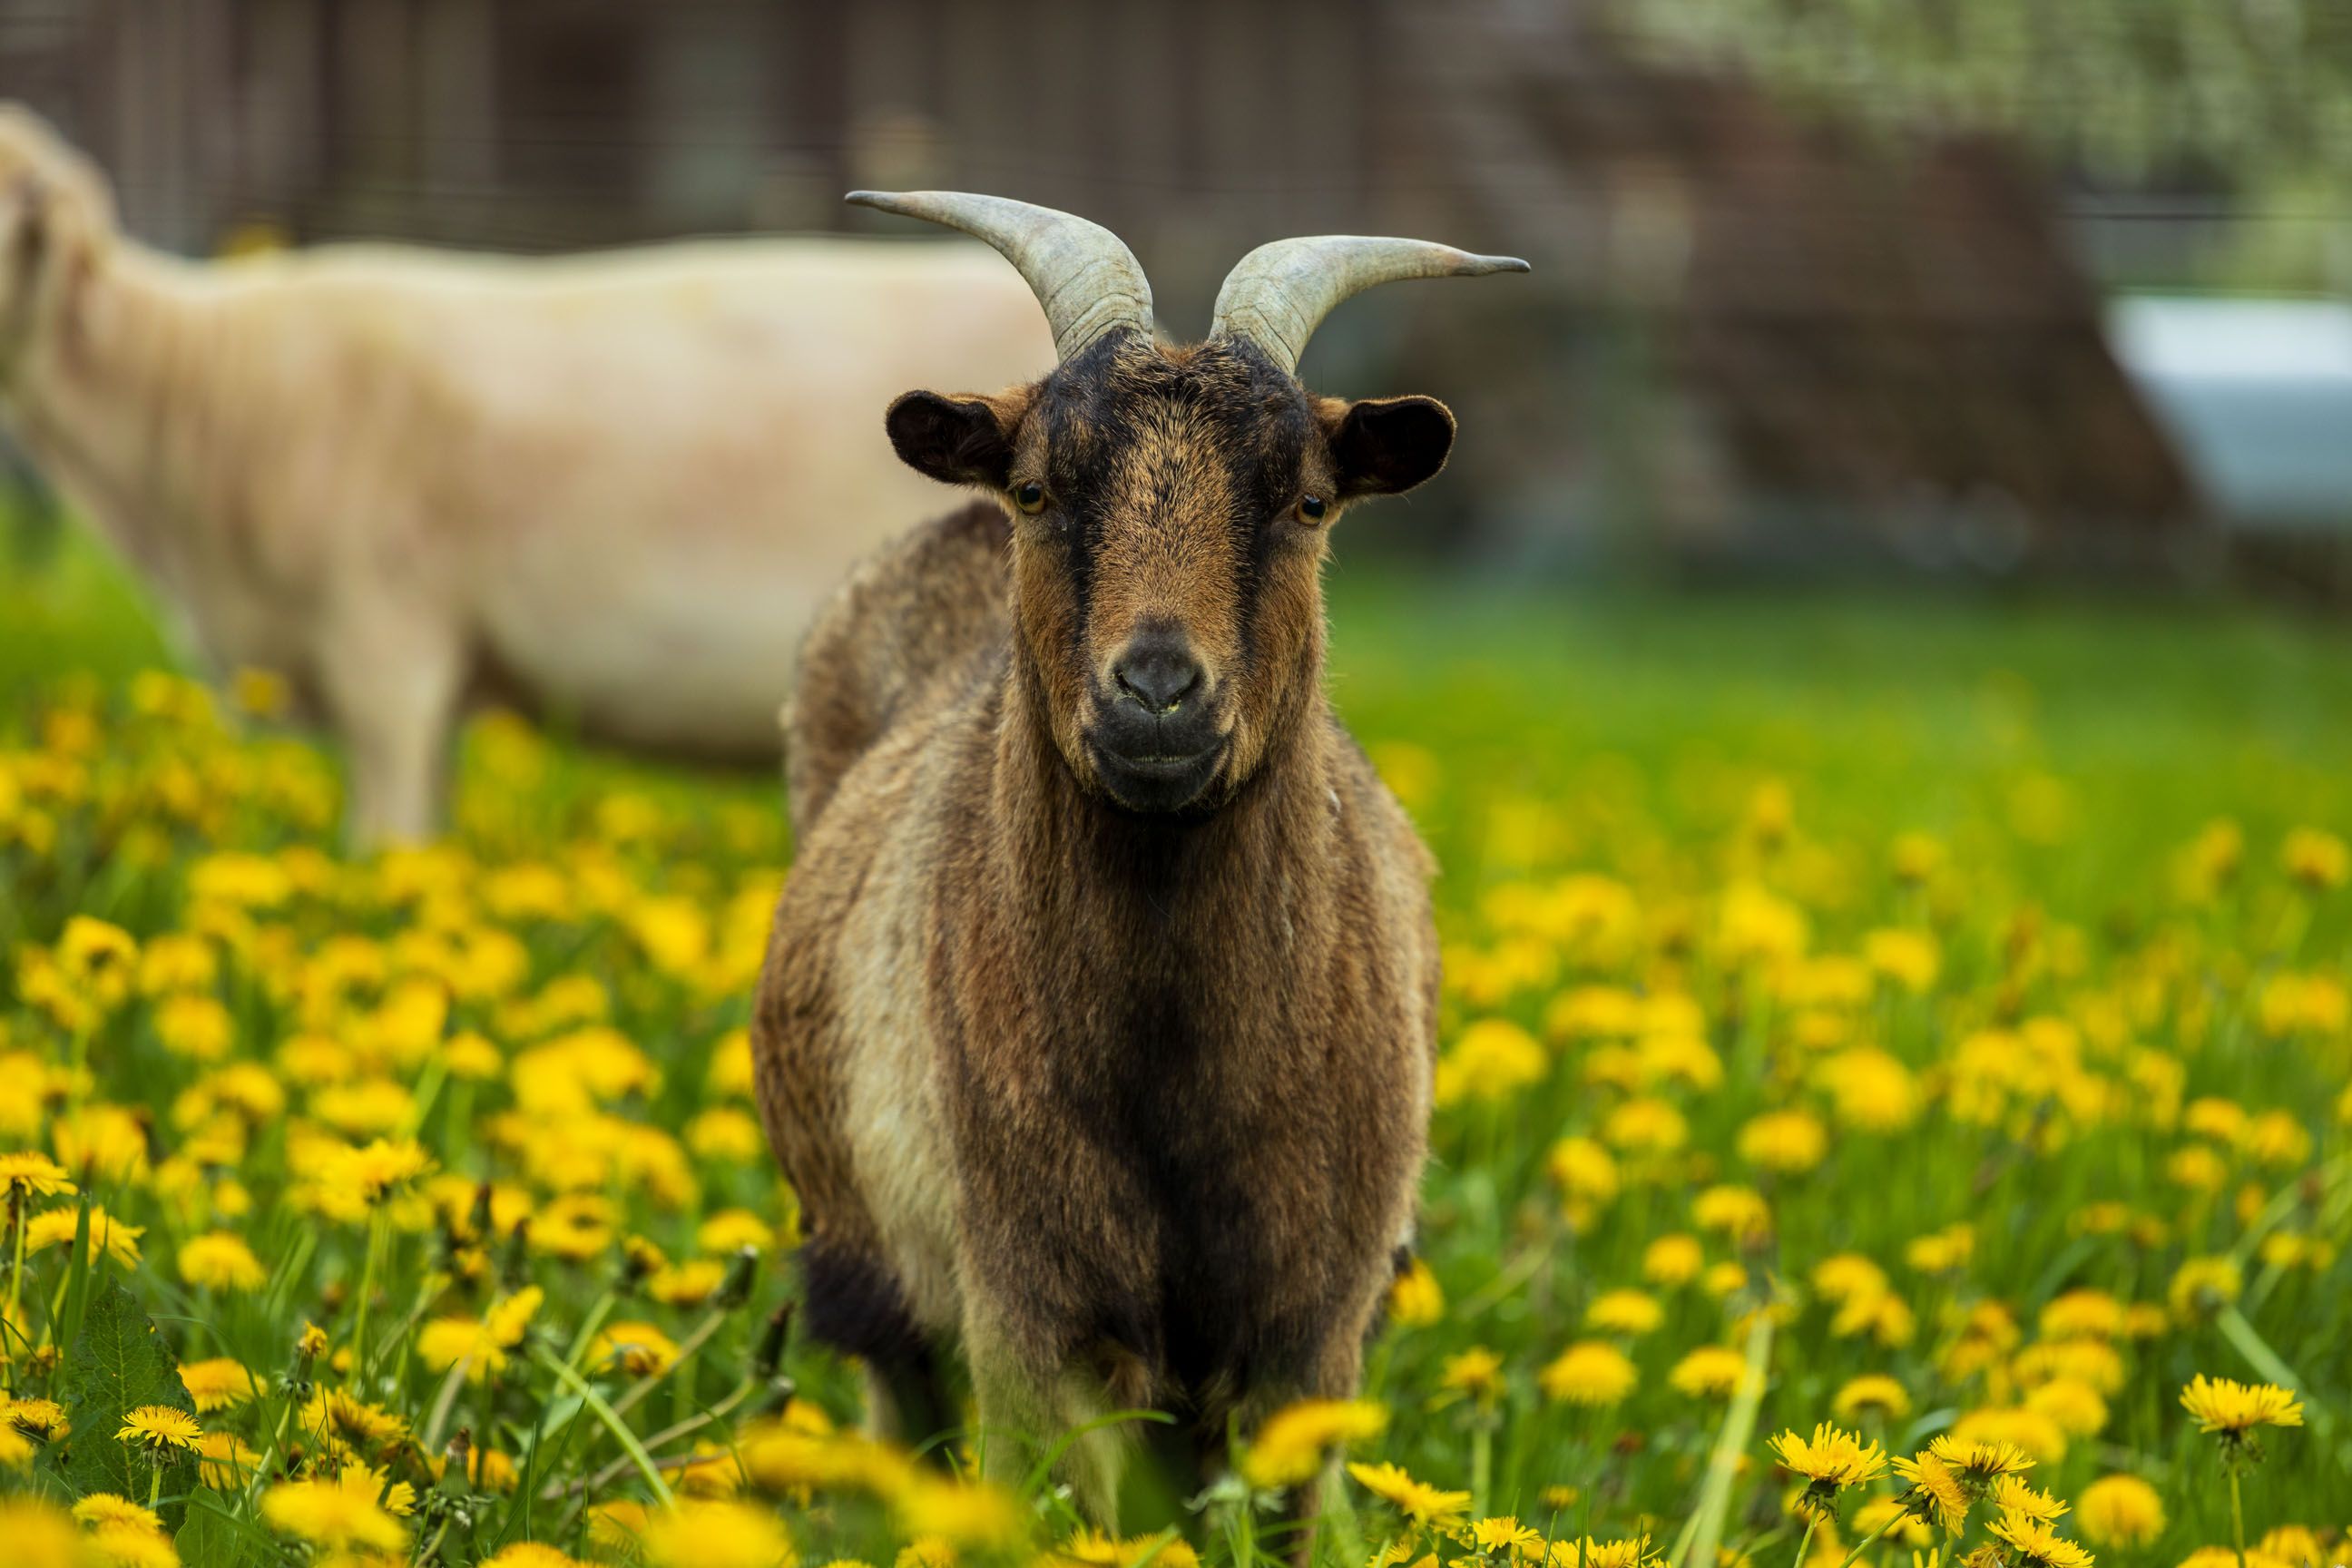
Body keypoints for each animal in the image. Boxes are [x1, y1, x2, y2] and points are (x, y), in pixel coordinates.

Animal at [752, 190, 1523, 1532]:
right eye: (1037, 487)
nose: (1158, 692)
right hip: (875, 1275)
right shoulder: (1029, 1310)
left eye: (1307, 502)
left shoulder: (1312, 1333)